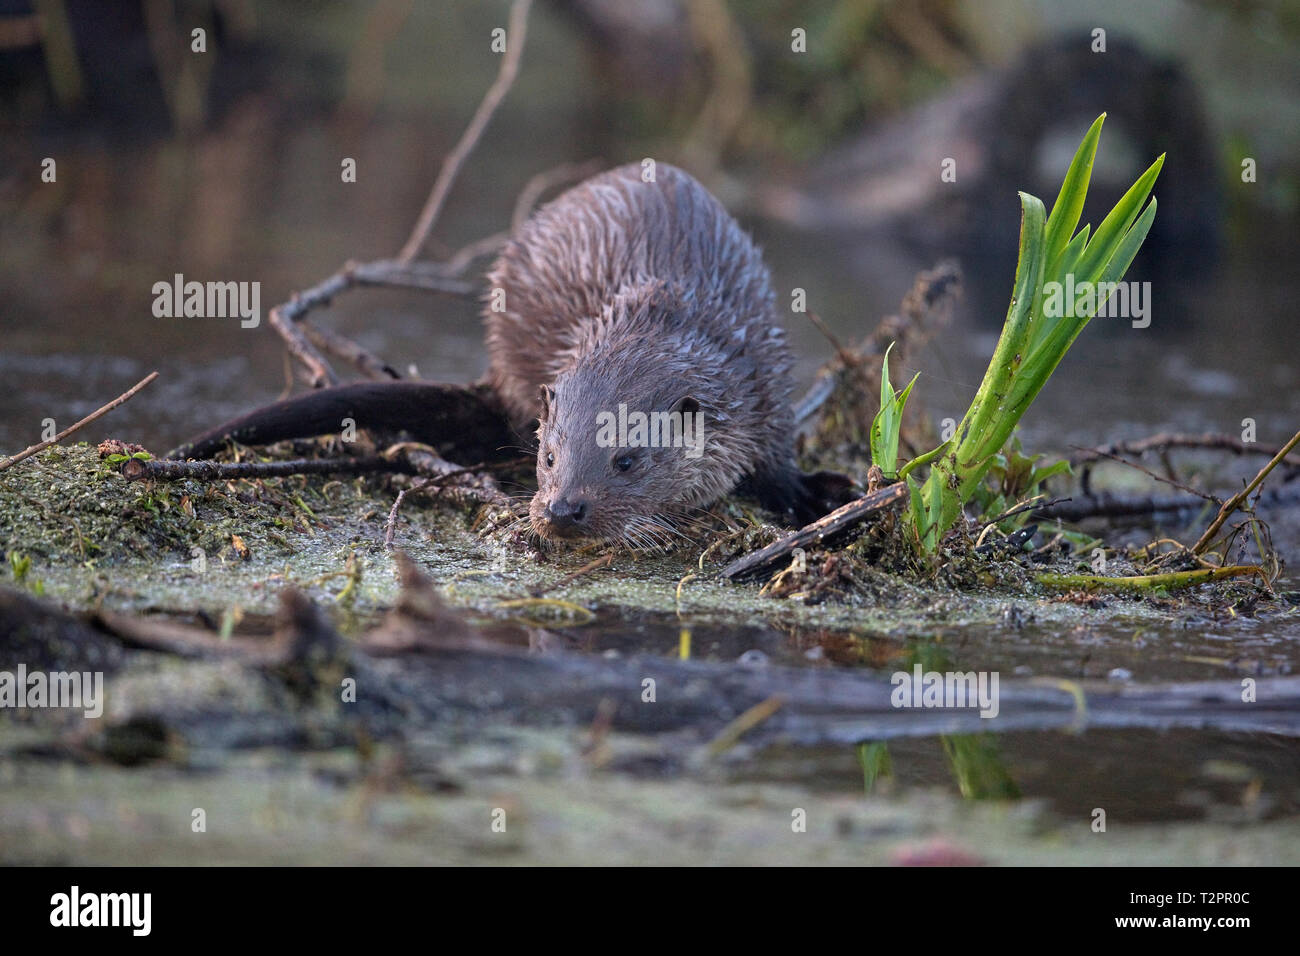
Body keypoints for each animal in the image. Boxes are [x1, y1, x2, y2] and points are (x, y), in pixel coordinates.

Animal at [485, 162, 836, 546]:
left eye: (626, 461)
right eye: (549, 457)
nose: (562, 510)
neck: (659, 311)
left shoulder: (764, 372)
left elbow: (778, 449)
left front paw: (802, 496)